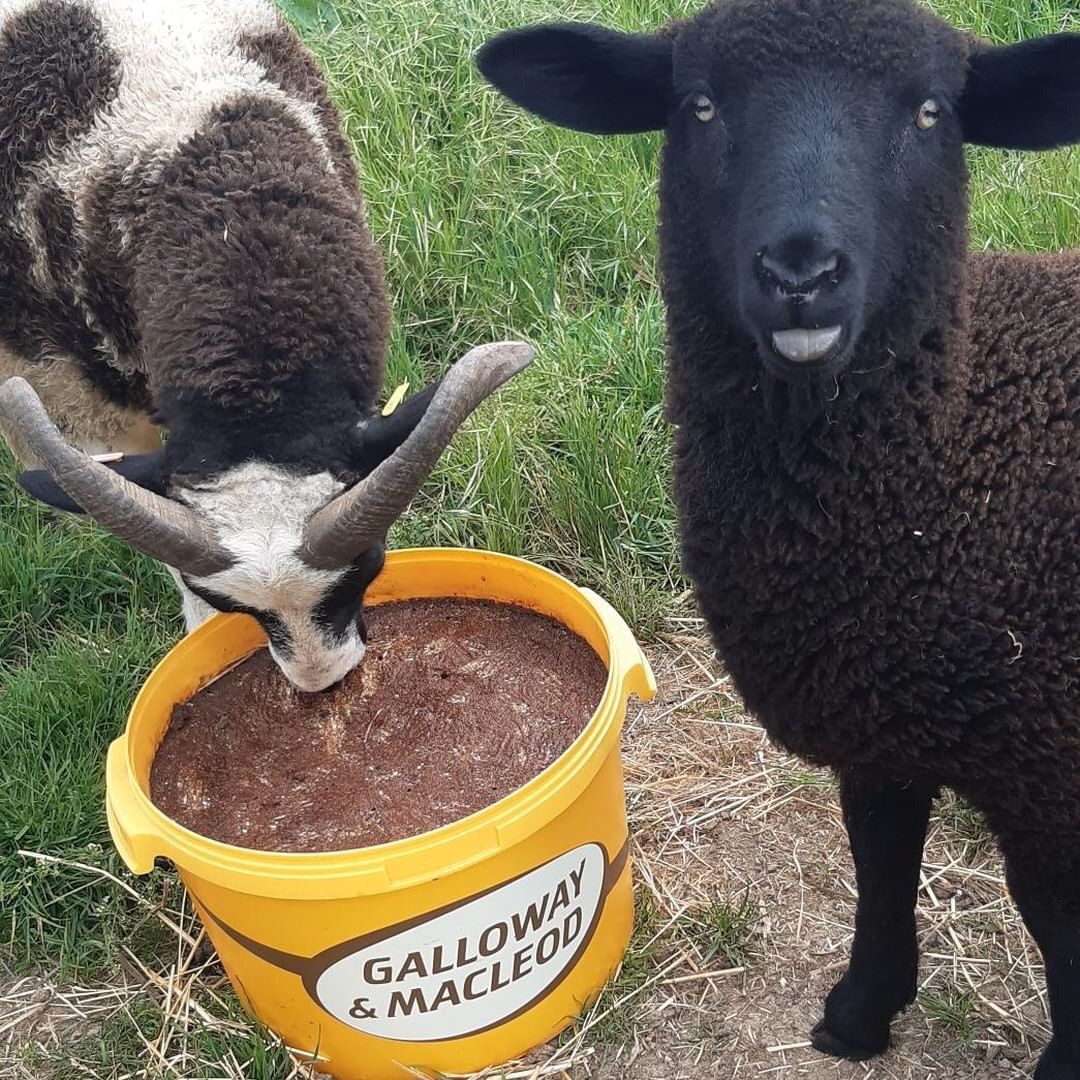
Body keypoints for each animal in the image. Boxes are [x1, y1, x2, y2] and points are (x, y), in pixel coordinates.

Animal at [477, 1, 1080, 1075]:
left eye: (931, 112)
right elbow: (879, 855)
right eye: (701, 104)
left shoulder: (1048, 772)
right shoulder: (880, 718)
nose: (802, 272)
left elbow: (1054, 923)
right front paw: (859, 1014)